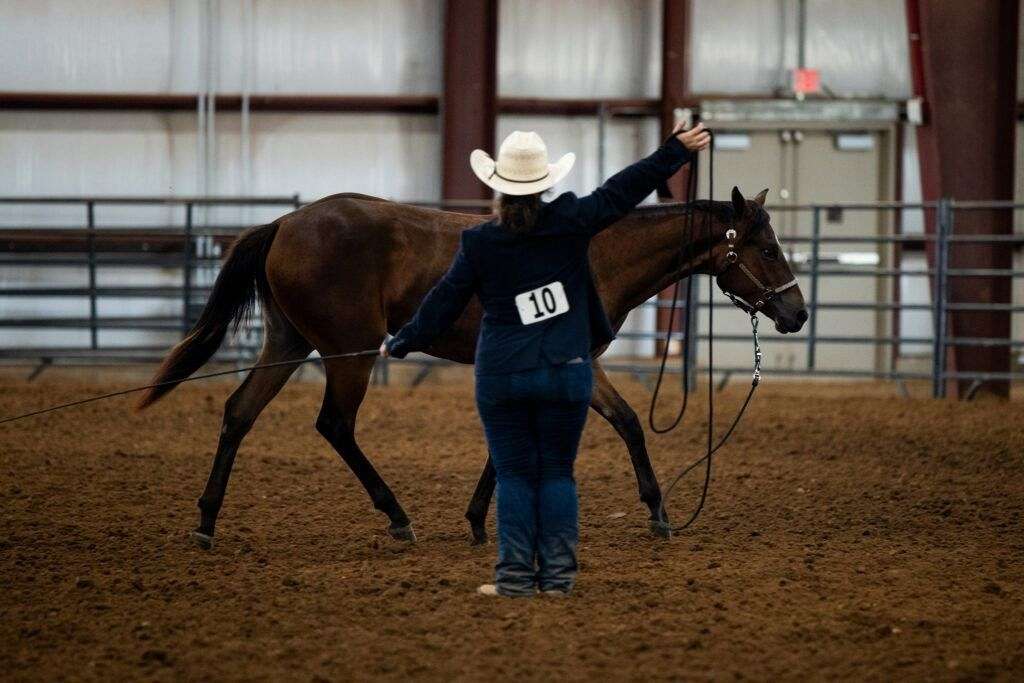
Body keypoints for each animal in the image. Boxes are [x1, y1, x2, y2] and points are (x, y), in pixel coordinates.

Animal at [136, 186, 807, 548]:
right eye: (767, 248)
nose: (797, 312)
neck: (595, 256)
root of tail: (284, 223)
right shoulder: (566, 362)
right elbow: (610, 428)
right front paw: (660, 514)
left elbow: (612, 425)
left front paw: (480, 520)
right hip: (349, 352)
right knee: (334, 426)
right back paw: (398, 518)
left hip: (289, 342)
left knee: (238, 412)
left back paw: (206, 521)